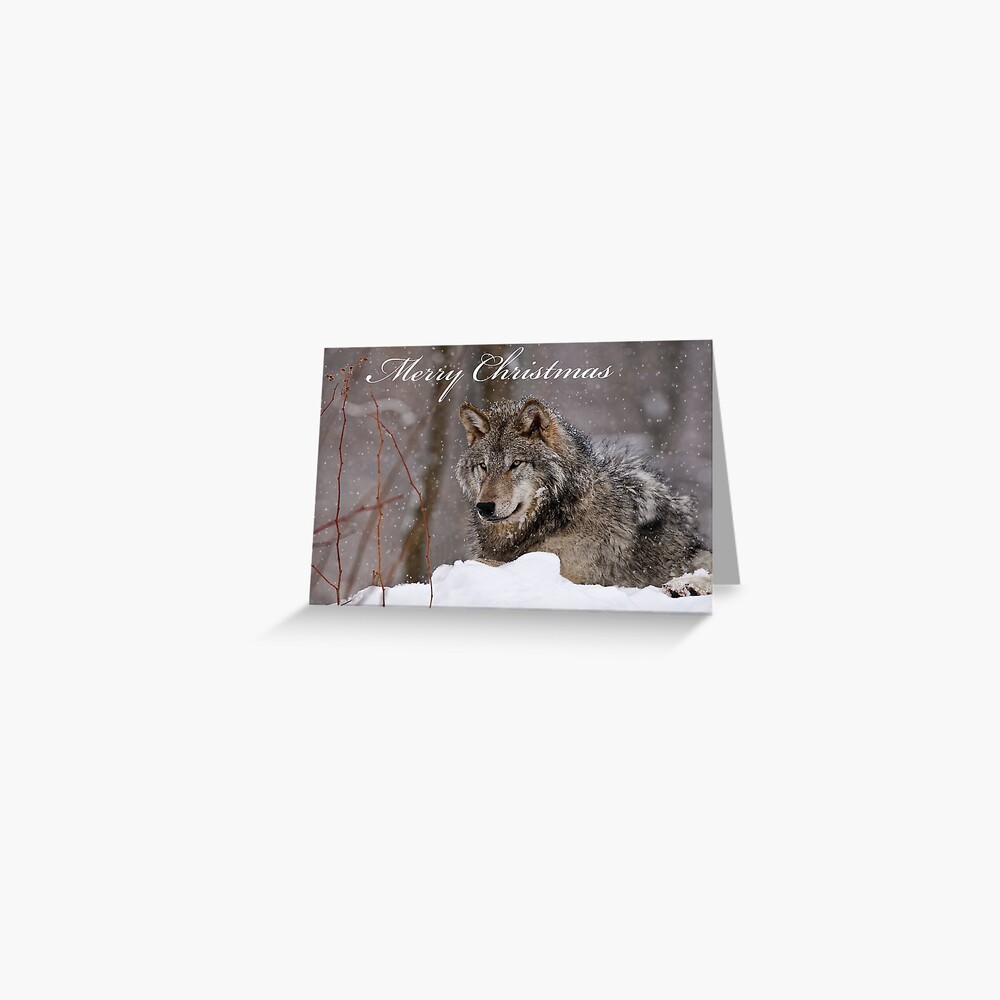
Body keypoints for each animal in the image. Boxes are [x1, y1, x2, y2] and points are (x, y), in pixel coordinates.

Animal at [455, 397, 712, 595]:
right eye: (484, 466)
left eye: (515, 464)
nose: (484, 507)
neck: (556, 512)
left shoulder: (566, 573)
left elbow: (481, 563)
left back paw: (685, 585)